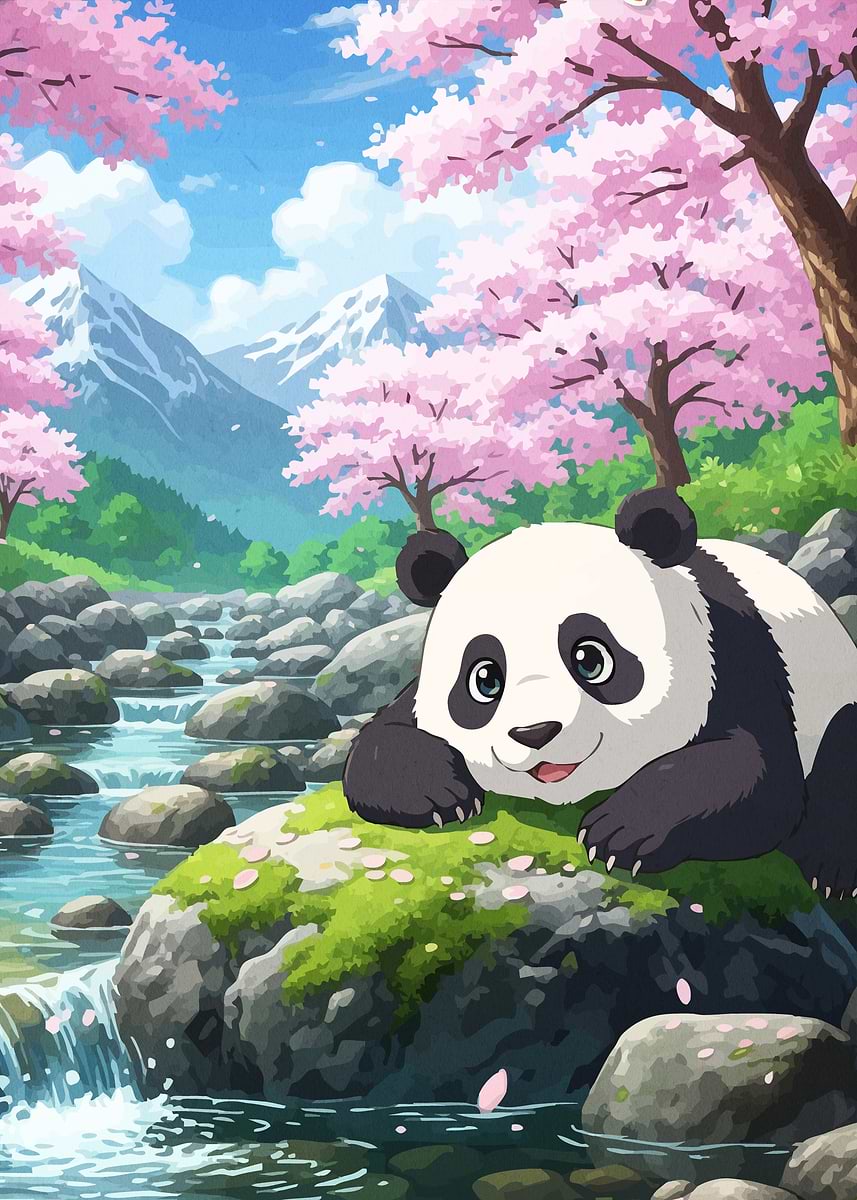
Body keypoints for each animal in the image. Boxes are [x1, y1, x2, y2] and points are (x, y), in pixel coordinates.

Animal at [343, 488, 857, 898]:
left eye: (590, 658)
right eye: (485, 679)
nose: (535, 732)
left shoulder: (736, 656)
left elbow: (757, 777)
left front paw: (621, 830)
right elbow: (379, 742)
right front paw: (440, 794)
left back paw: (832, 870)